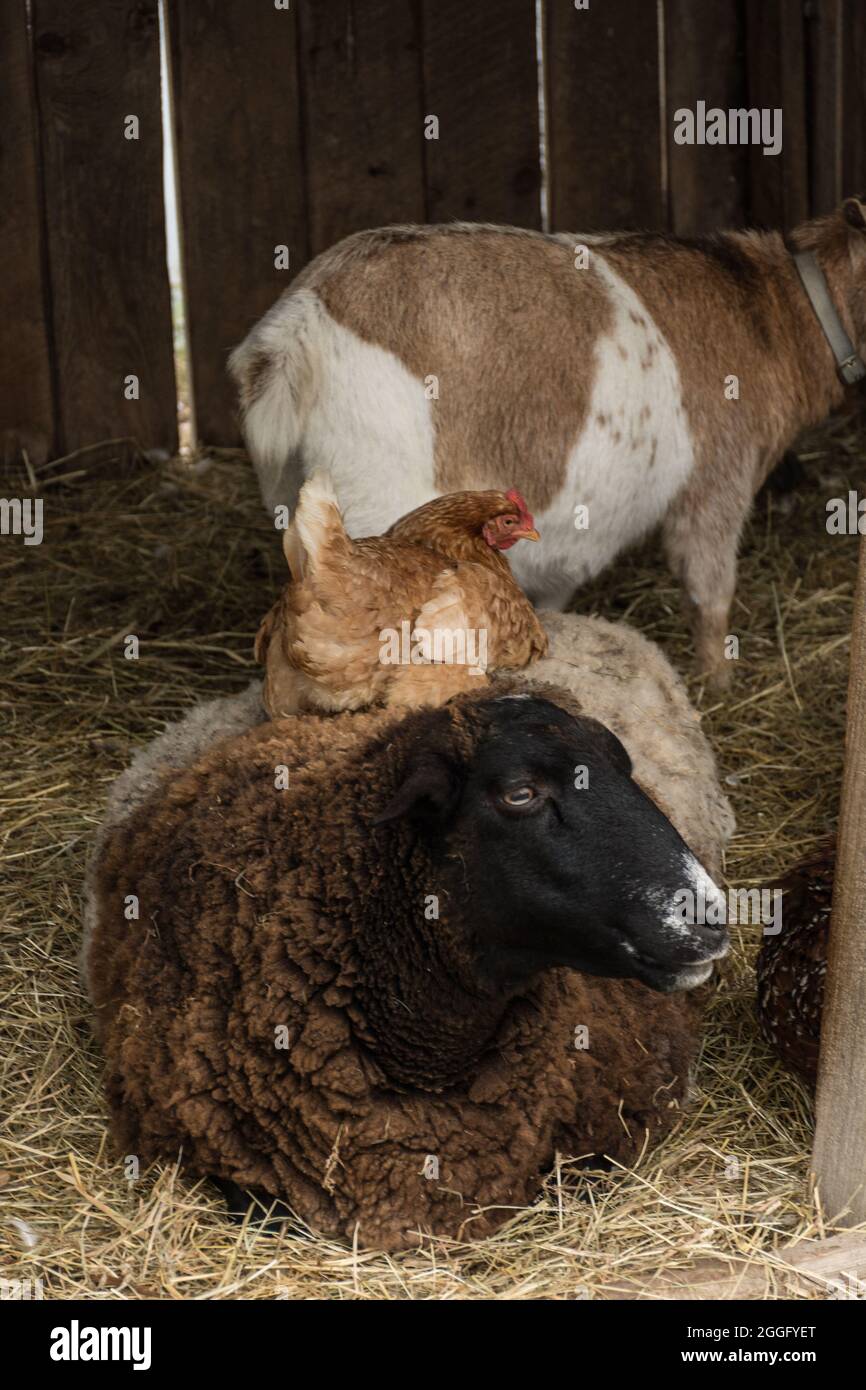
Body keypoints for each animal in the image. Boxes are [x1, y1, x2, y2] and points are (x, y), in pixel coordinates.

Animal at [229, 197, 866, 683]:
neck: (770, 313)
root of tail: (296, 331)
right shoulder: (715, 484)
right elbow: (710, 594)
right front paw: (719, 686)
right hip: (376, 502)